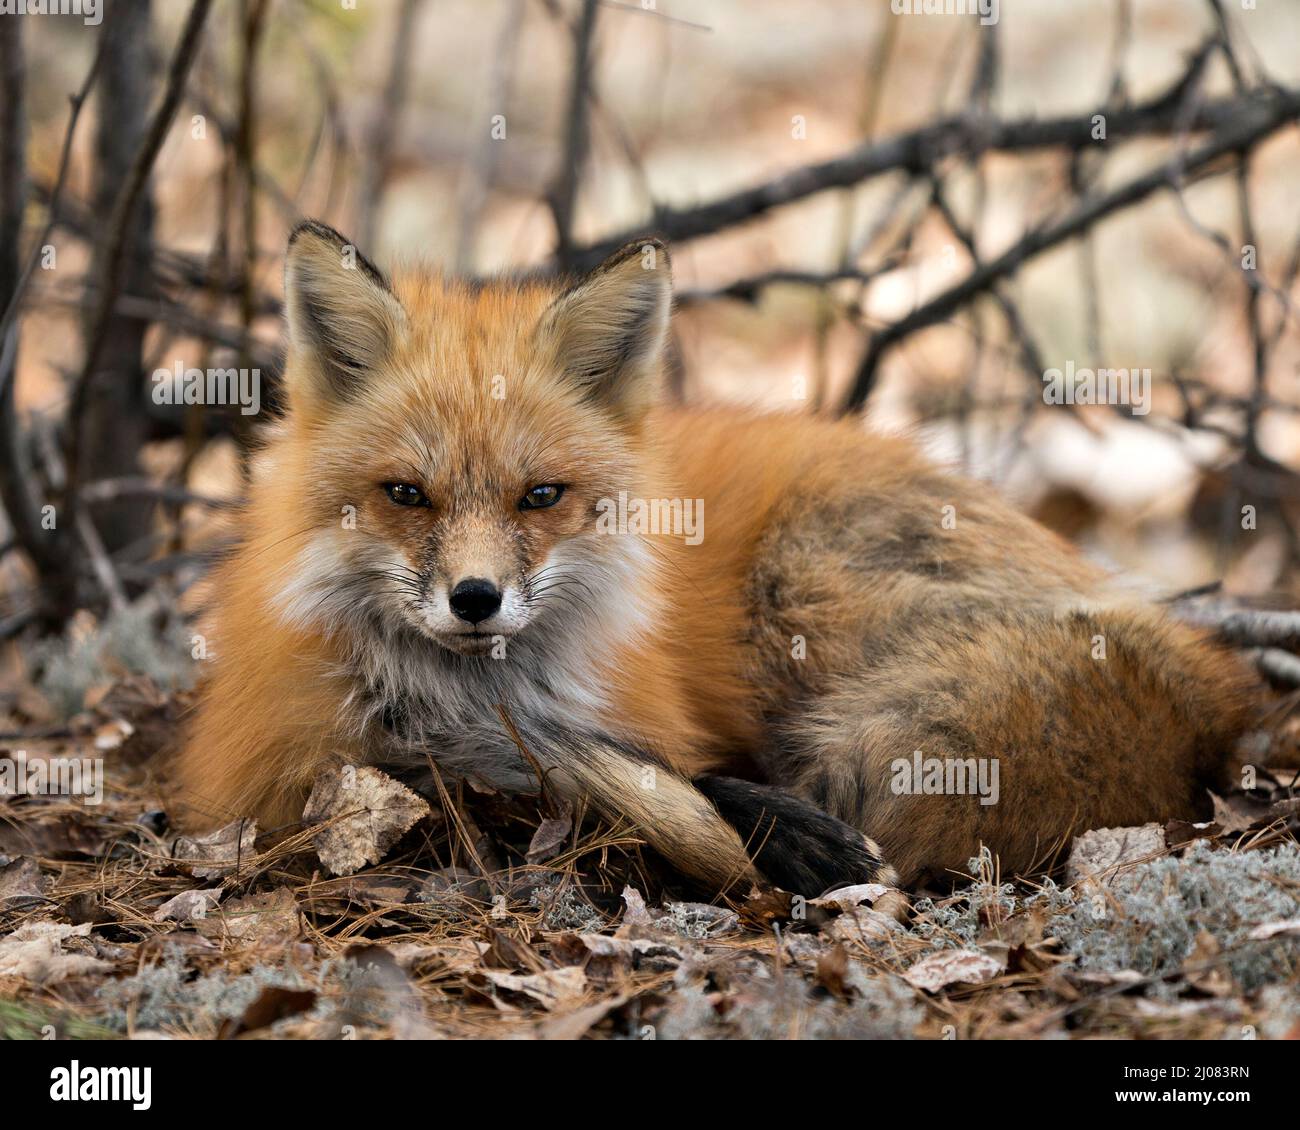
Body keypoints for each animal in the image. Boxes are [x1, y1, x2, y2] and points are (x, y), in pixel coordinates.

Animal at [172, 219, 1260, 897]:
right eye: (406, 494)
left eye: (539, 496)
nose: (475, 598)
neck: (465, 700)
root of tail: (1210, 692)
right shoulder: (272, 763)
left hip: (803, 602)